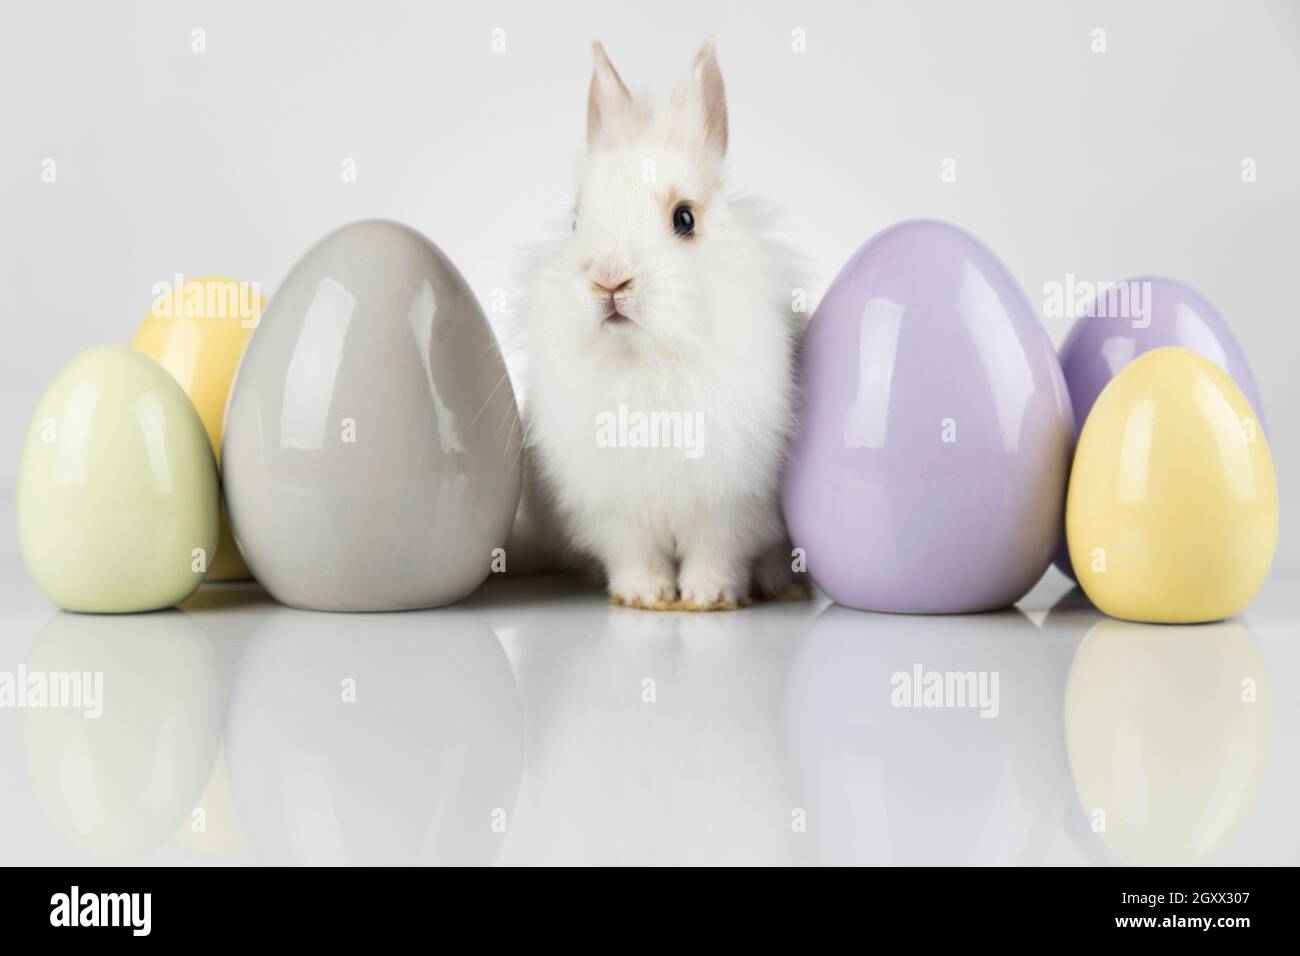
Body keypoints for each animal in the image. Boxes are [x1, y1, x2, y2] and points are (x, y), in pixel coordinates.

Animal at [519, 39, 803, 610]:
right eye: (575, 219)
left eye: (685, 219)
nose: (609, 279)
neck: (645, 361)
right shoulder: (617, 513)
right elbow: (635, 555)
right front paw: (645, 596)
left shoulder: (729, 506)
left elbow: (717, 553)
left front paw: (707, 597)